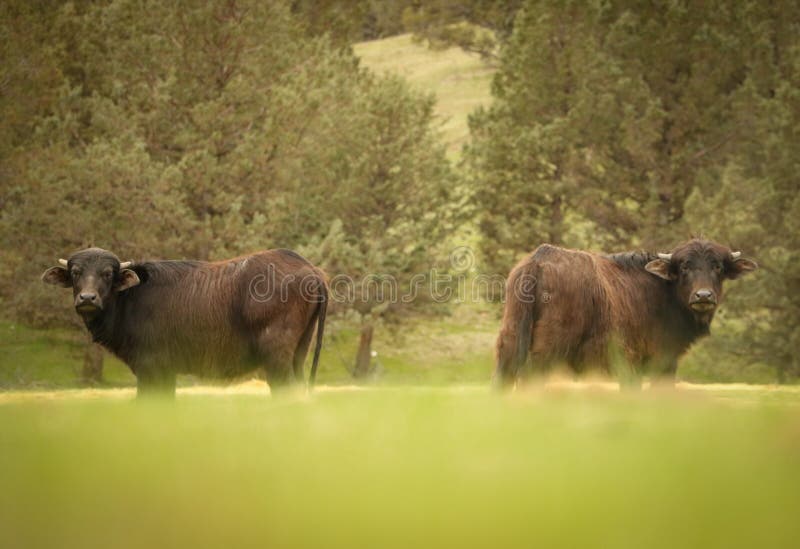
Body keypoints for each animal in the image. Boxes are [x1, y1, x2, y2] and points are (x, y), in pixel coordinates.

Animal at [42, 247, 328, 396]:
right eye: (76, 272)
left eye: (107, 274)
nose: (87, 298)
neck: (129, 300)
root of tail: (310, 269)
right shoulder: (166, 371)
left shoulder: (150, 367)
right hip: (299, 354)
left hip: (276, 356)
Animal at [495, 239, 757, 388]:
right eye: (685, 266)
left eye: (718, 266)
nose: (703, 296)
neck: (663, 292)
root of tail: (539, 260)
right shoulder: (659, 363)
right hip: (548, 350)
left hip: (510, 340)